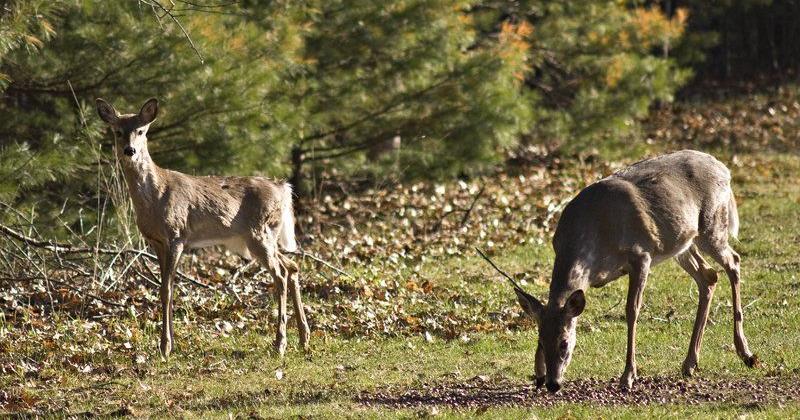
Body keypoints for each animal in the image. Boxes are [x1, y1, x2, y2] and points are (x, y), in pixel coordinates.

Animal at [95, 98, 310, 359]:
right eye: (117, 132)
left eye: (141, 131)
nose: (129, 150)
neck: (155, 197)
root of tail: (284, 188)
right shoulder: (156, 241)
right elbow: (168, 287)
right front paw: (170, 344)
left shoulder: (176, 236)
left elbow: (166, 290)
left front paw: (165, 347)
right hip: (260, 236)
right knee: (292, 266)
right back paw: (304, 338)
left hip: (259, 234)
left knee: (279, 275)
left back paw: (280, 344)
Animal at [501, 150, 758, 392]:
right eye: (541, 341)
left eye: (564, 342)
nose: (553, 384)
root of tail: (724, 169)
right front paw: (538, 374)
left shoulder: (641, 254)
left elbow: (631, 310)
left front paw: (628, 376)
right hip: (682, 243)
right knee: (709, 276)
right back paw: (690, 363)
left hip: (712, 226)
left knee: (733, 261)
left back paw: (745, 353)